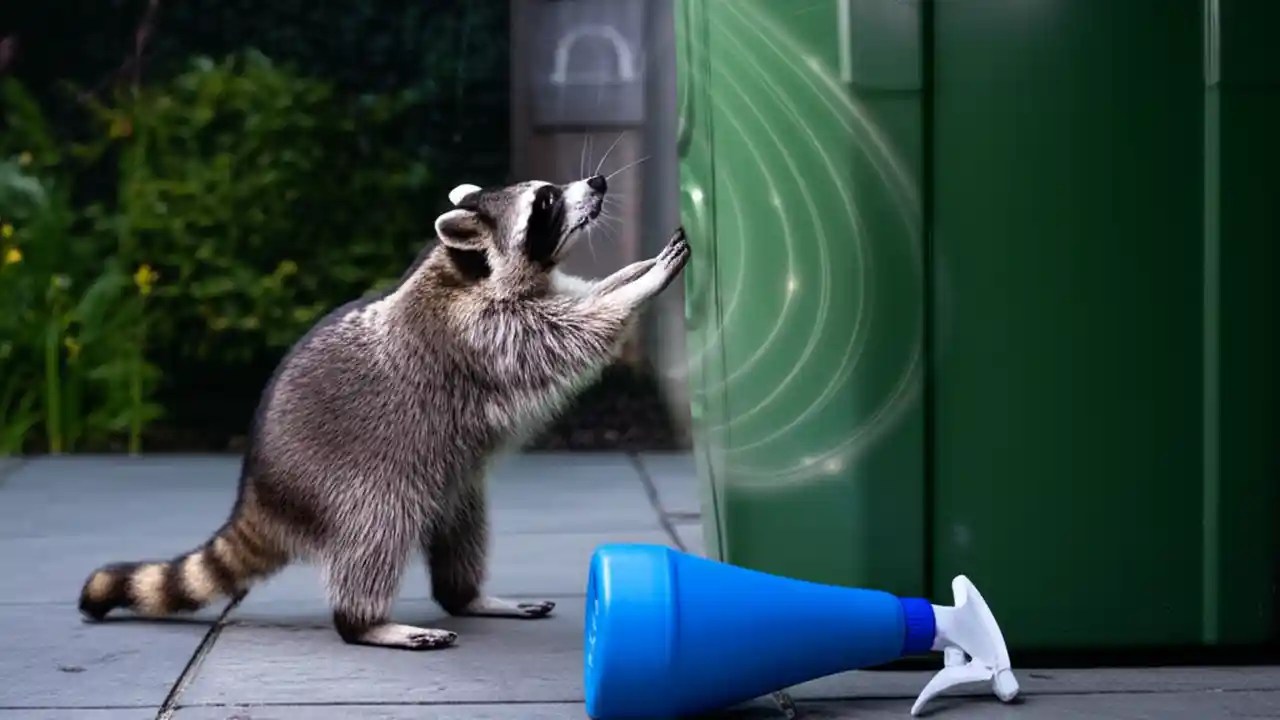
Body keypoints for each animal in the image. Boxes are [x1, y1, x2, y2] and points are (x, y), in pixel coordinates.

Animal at [78, 173, 690, 650]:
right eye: (545, 202)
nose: (599, 183)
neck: (466, 267)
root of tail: (260, 488)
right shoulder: (477, 334)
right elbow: (570, 335)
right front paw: (640, 289)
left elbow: (584, 297)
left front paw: (629, 274)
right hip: (355, 483)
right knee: (376, 536)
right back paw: (365, 622)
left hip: (452, 481)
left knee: (462, 530)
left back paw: (466, 596)